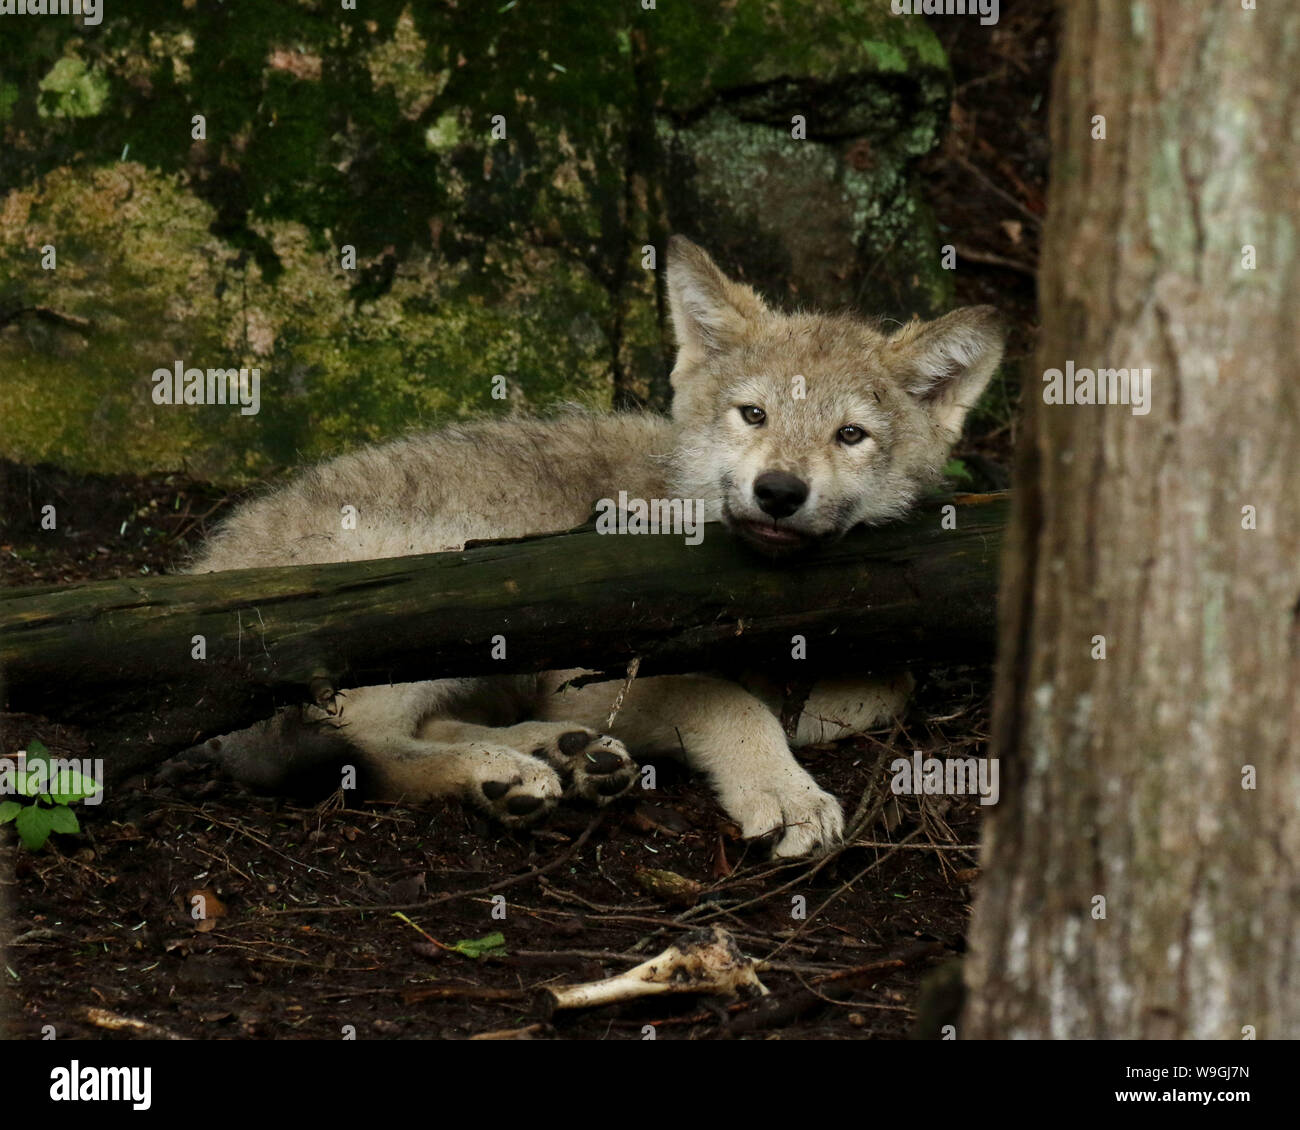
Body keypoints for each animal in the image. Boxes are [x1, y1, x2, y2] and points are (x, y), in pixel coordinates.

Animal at [187, 237, 1003, 857]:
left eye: (850, 435)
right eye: (753, 415)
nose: (778, 490)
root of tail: (207, 571)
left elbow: (880, 688)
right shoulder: (588, 673)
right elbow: (729, 698)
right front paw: (783, 787)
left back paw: (562, 753)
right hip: (445, 591)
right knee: (370, 750)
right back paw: (507, 772)